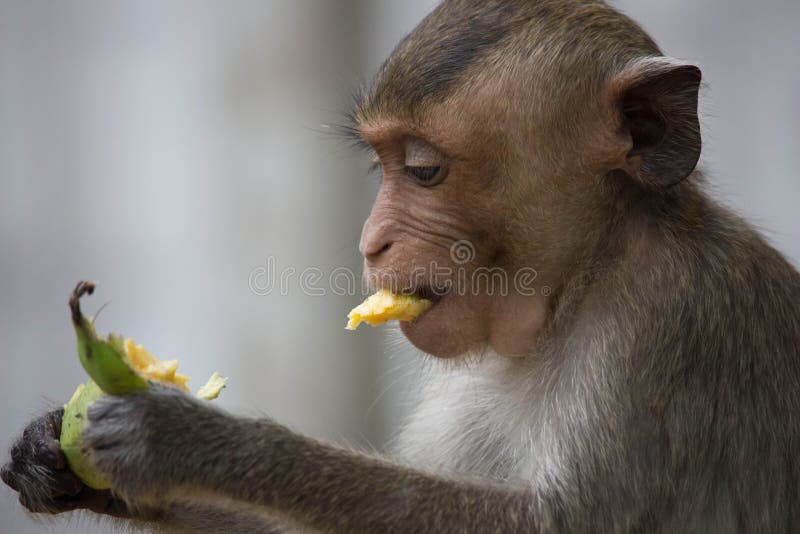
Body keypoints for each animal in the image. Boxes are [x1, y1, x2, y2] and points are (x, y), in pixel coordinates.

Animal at [4, 0, 800, 532]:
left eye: (423, 170)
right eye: (380, 166)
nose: (371, 240)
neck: (580, 281)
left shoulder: (671, 324)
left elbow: (556, 524)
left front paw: (199, 443)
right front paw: (55, 453)